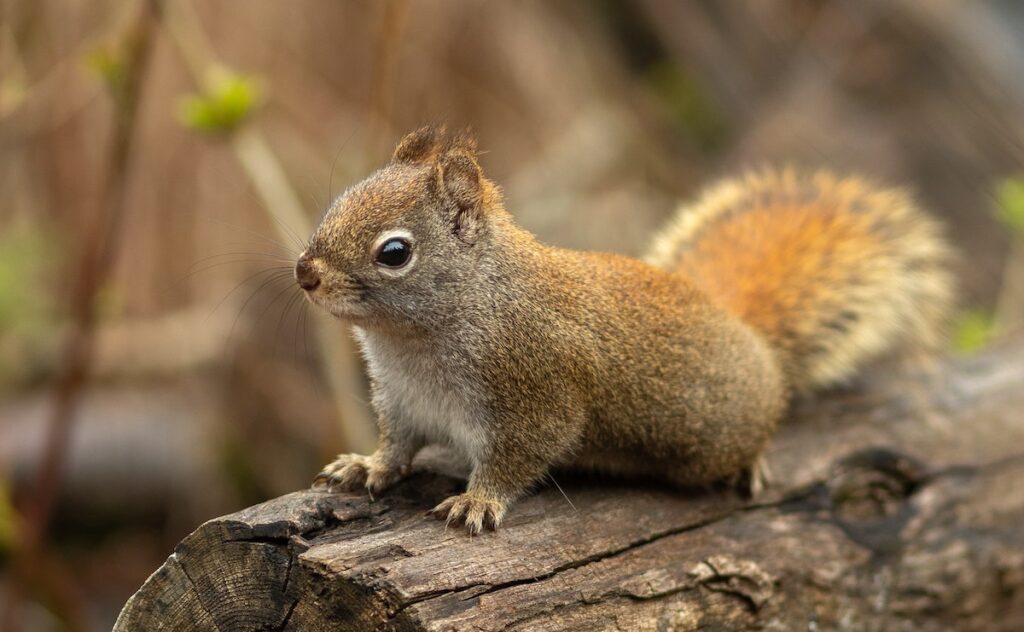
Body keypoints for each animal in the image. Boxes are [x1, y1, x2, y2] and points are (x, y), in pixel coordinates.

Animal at [297, 126, 953, 534]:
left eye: (395, 252)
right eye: (339, 201)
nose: (305, 273)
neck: (412, 340)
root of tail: (746, 332)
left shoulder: (537, 396)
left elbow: (518, 458)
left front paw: (477, 502)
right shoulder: (403, 400)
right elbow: (398, 445)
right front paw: (367, 467)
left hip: (711, 440)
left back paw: (750, 465)